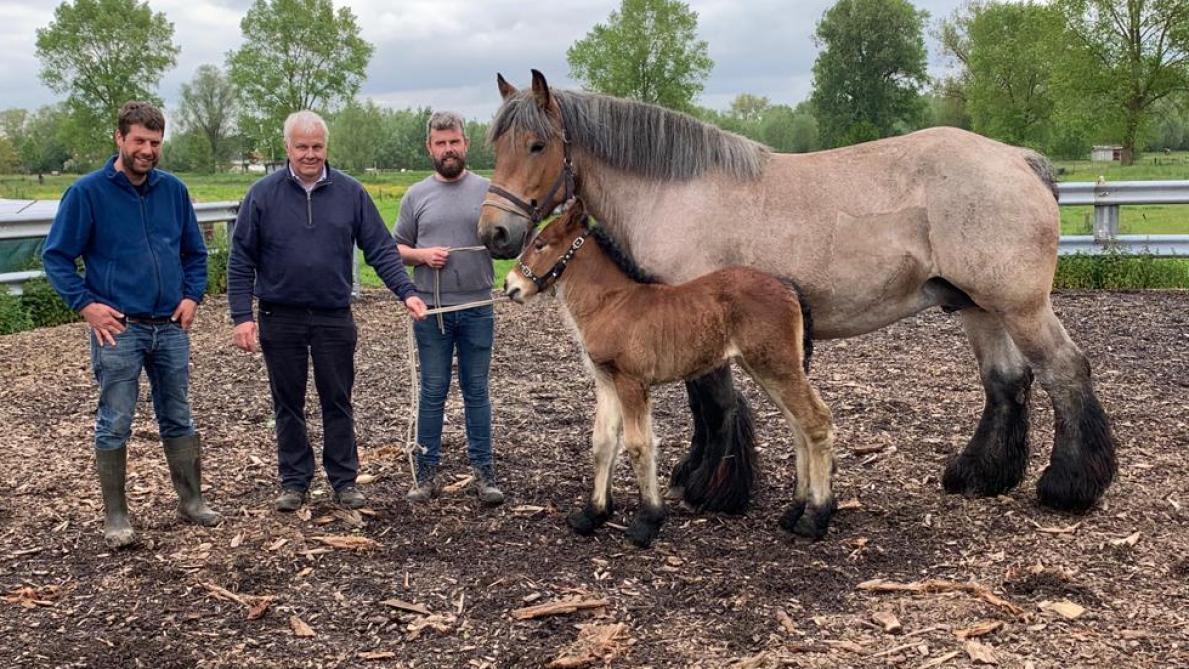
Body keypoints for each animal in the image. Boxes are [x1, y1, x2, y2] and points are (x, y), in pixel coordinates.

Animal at [504, 200, 833, 547]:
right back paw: (794, 510)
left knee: (816, 422)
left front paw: (647, 520)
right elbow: (603, 441)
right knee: (798, 427)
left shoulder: (632, 382)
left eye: (540, 245)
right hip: (766, 369)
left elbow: (638, 445)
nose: (510, 285)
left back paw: (815, 517)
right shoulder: (606, 381)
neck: (612, 303)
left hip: (778, 366)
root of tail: (787, 285)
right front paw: (592, 514)